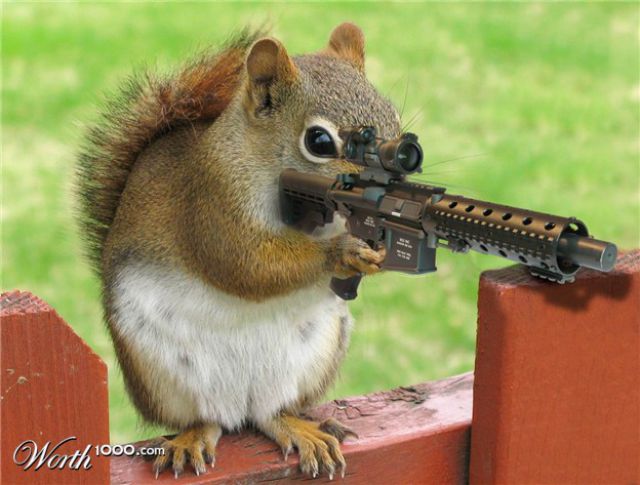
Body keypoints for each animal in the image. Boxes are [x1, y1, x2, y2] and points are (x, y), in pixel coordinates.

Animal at [76, 23, 399, 479]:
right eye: (319, 141)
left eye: (393, 116)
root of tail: (238, 405)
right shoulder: (211, 199)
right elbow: (247, 266)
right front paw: (342, 251)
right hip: (157, 372)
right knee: (203, 419)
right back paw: (191, 440)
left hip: (314, 356)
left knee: (271, 414)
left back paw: (303, 431)